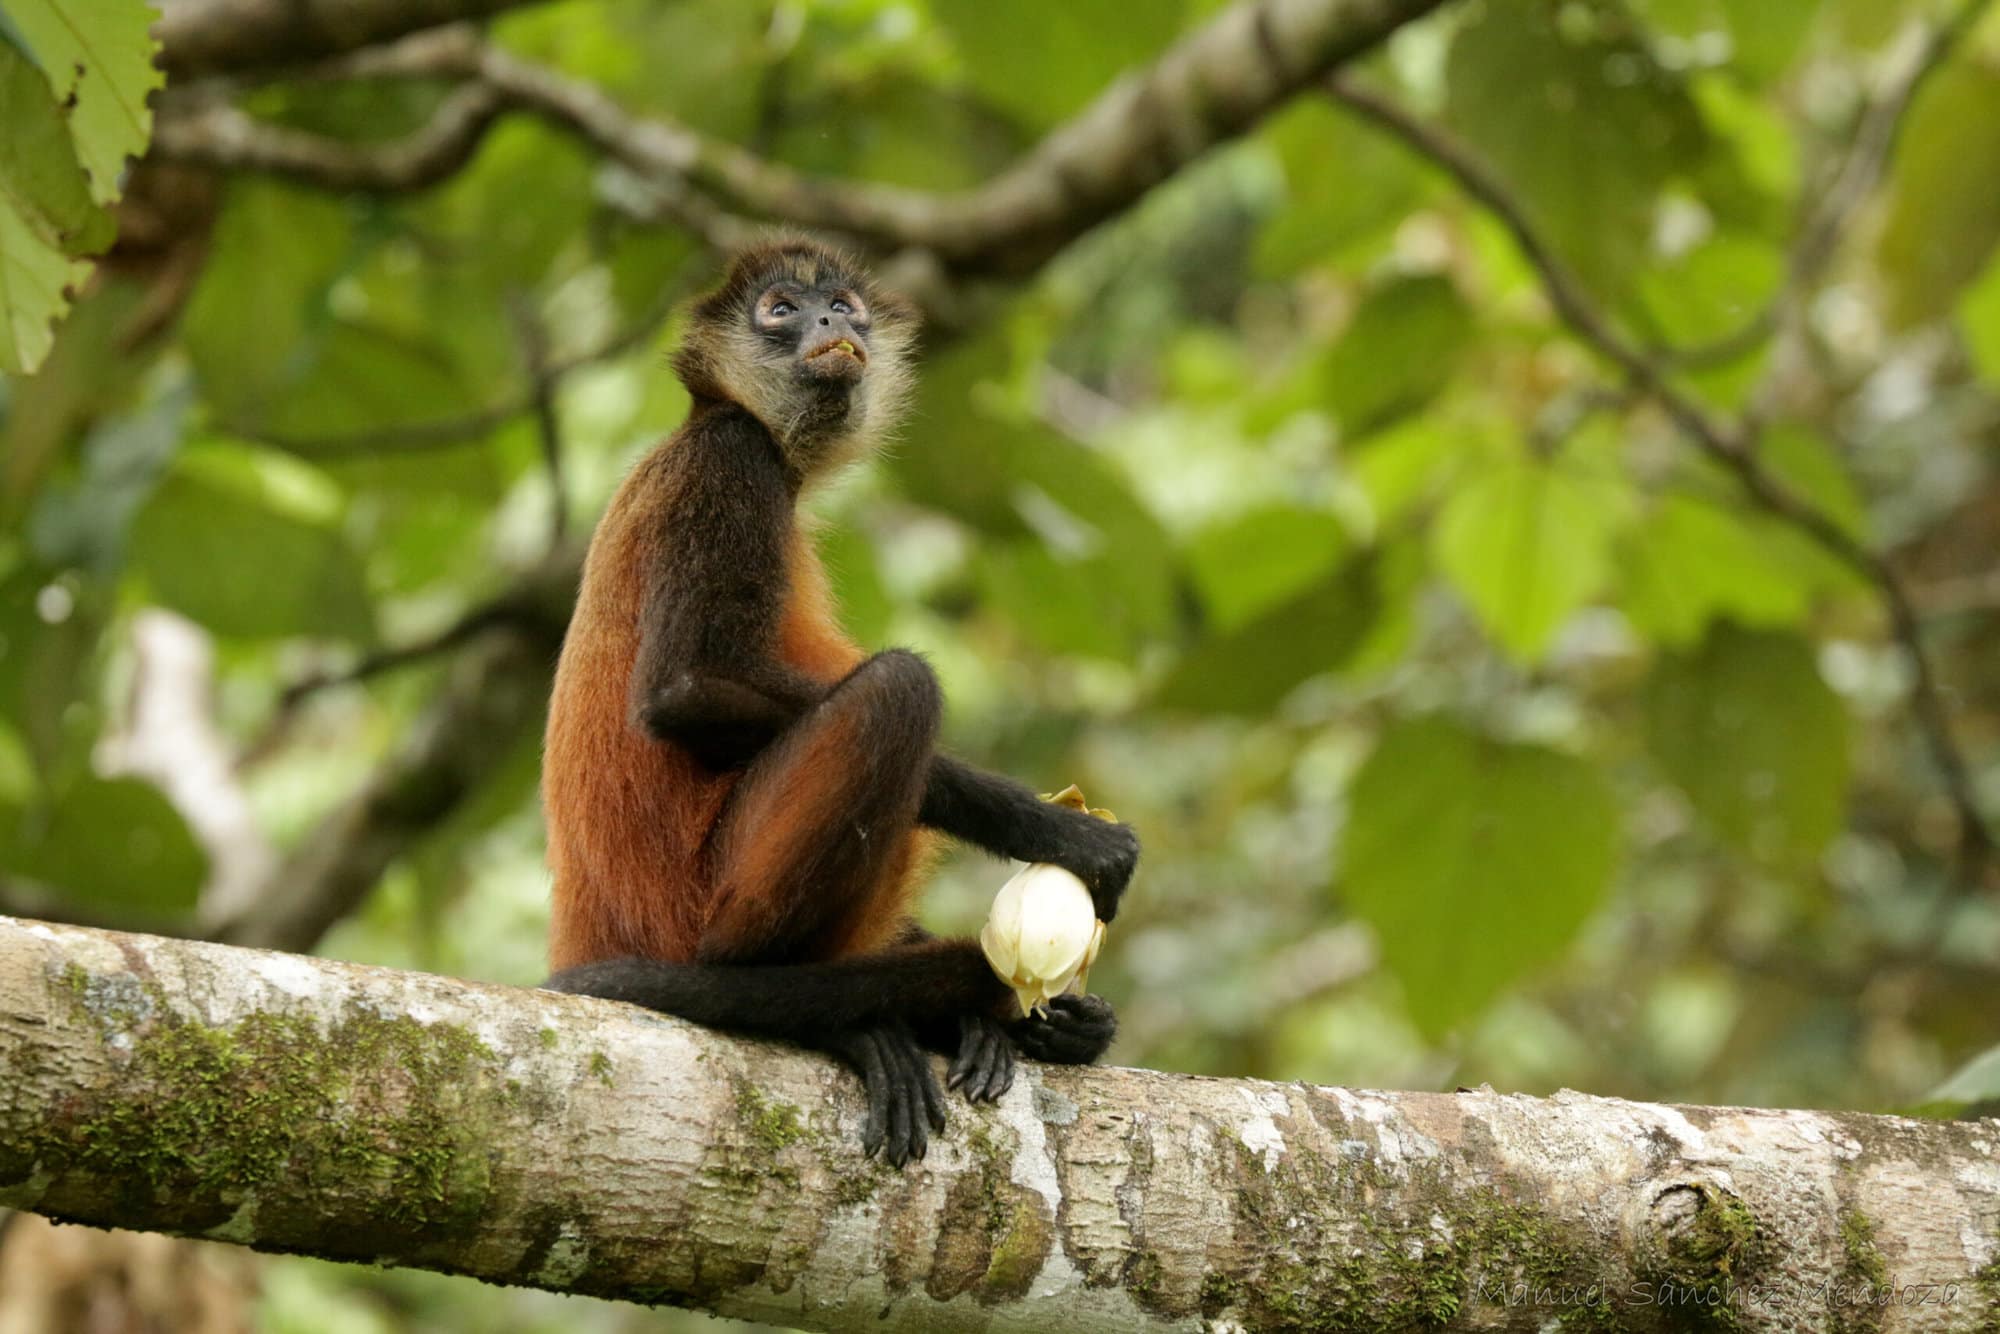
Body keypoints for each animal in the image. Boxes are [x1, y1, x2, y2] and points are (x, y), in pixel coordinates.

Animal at [540, 239, 1141, 1165]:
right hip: (705, 902)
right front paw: (1057, 831)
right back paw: (806, 1007)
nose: (827, 320)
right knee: (901, 687)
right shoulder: (728, 456)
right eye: (781, 309)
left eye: (842, 305)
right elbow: (683, 691)